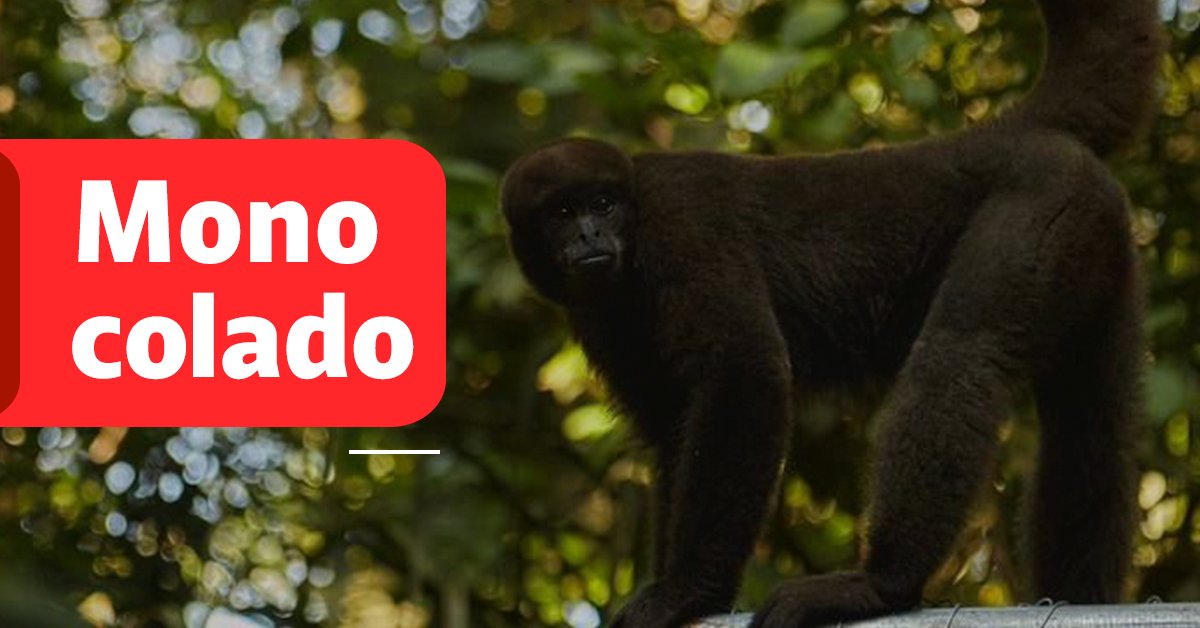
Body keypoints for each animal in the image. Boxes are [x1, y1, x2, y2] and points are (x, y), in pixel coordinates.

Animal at [499, 0, 1163, 626]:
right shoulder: (596, 315)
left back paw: (882, 583)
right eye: (563, 213)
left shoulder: (681, 227)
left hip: (1044, 206)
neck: (634, 231)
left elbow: (744, 372)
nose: (590, 234)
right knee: (1092, 423)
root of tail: (1002, 134)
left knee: (965, 350)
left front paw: (687, 591)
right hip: (1096, 232)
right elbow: (669, 426)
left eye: (603, 204)